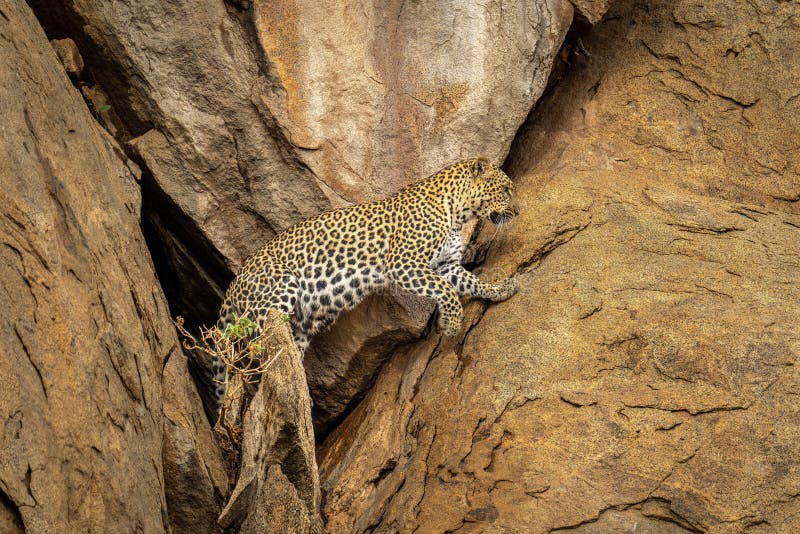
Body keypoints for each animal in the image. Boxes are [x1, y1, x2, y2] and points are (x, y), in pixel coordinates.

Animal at [212, 157, 520, 404]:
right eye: (506, 190)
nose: (517, 212)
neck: (458, 212)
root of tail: (232, 285)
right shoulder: (404, 263)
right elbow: (446, 291)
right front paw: (452, 323)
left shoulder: (446, 266)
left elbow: (471, 282)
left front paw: (502, 289)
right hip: (278, 292)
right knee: (254, 354)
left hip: (302, 324)